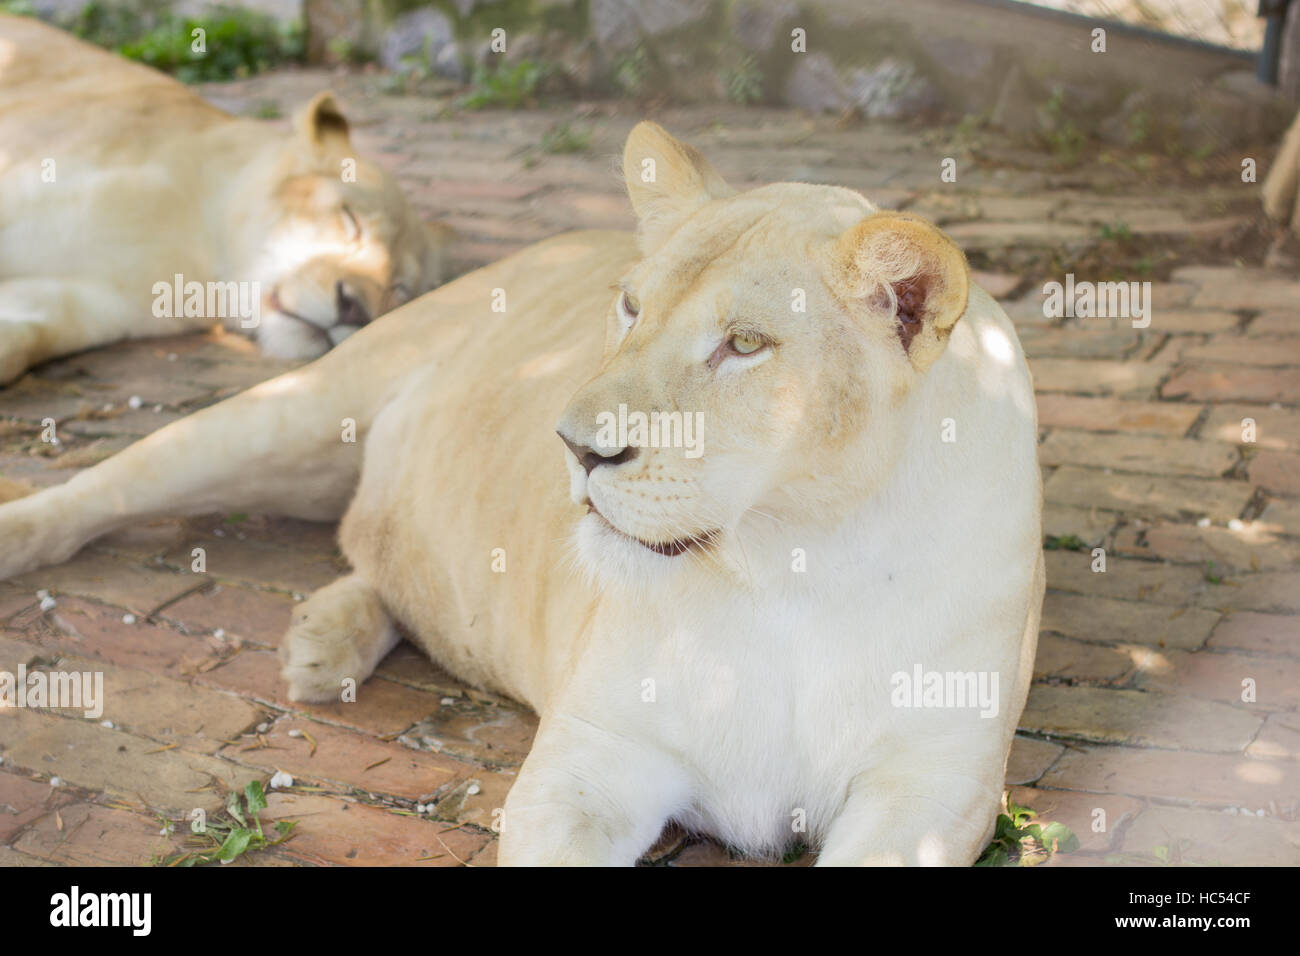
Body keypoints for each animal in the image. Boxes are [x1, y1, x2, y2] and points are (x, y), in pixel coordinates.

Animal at [0, 13, 445, 383]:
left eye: (399, 289)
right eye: (350, 220)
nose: (356, 310)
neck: (206, 257)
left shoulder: (85, 300)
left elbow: (20, 342)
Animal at [0, 122, 1044, 866]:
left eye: (746, 344)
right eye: (630, 306)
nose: (576, 449)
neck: (791, 569)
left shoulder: (930, 792)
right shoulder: (594, 761)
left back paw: (323, 642)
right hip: (293, 415)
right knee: (112, 486)